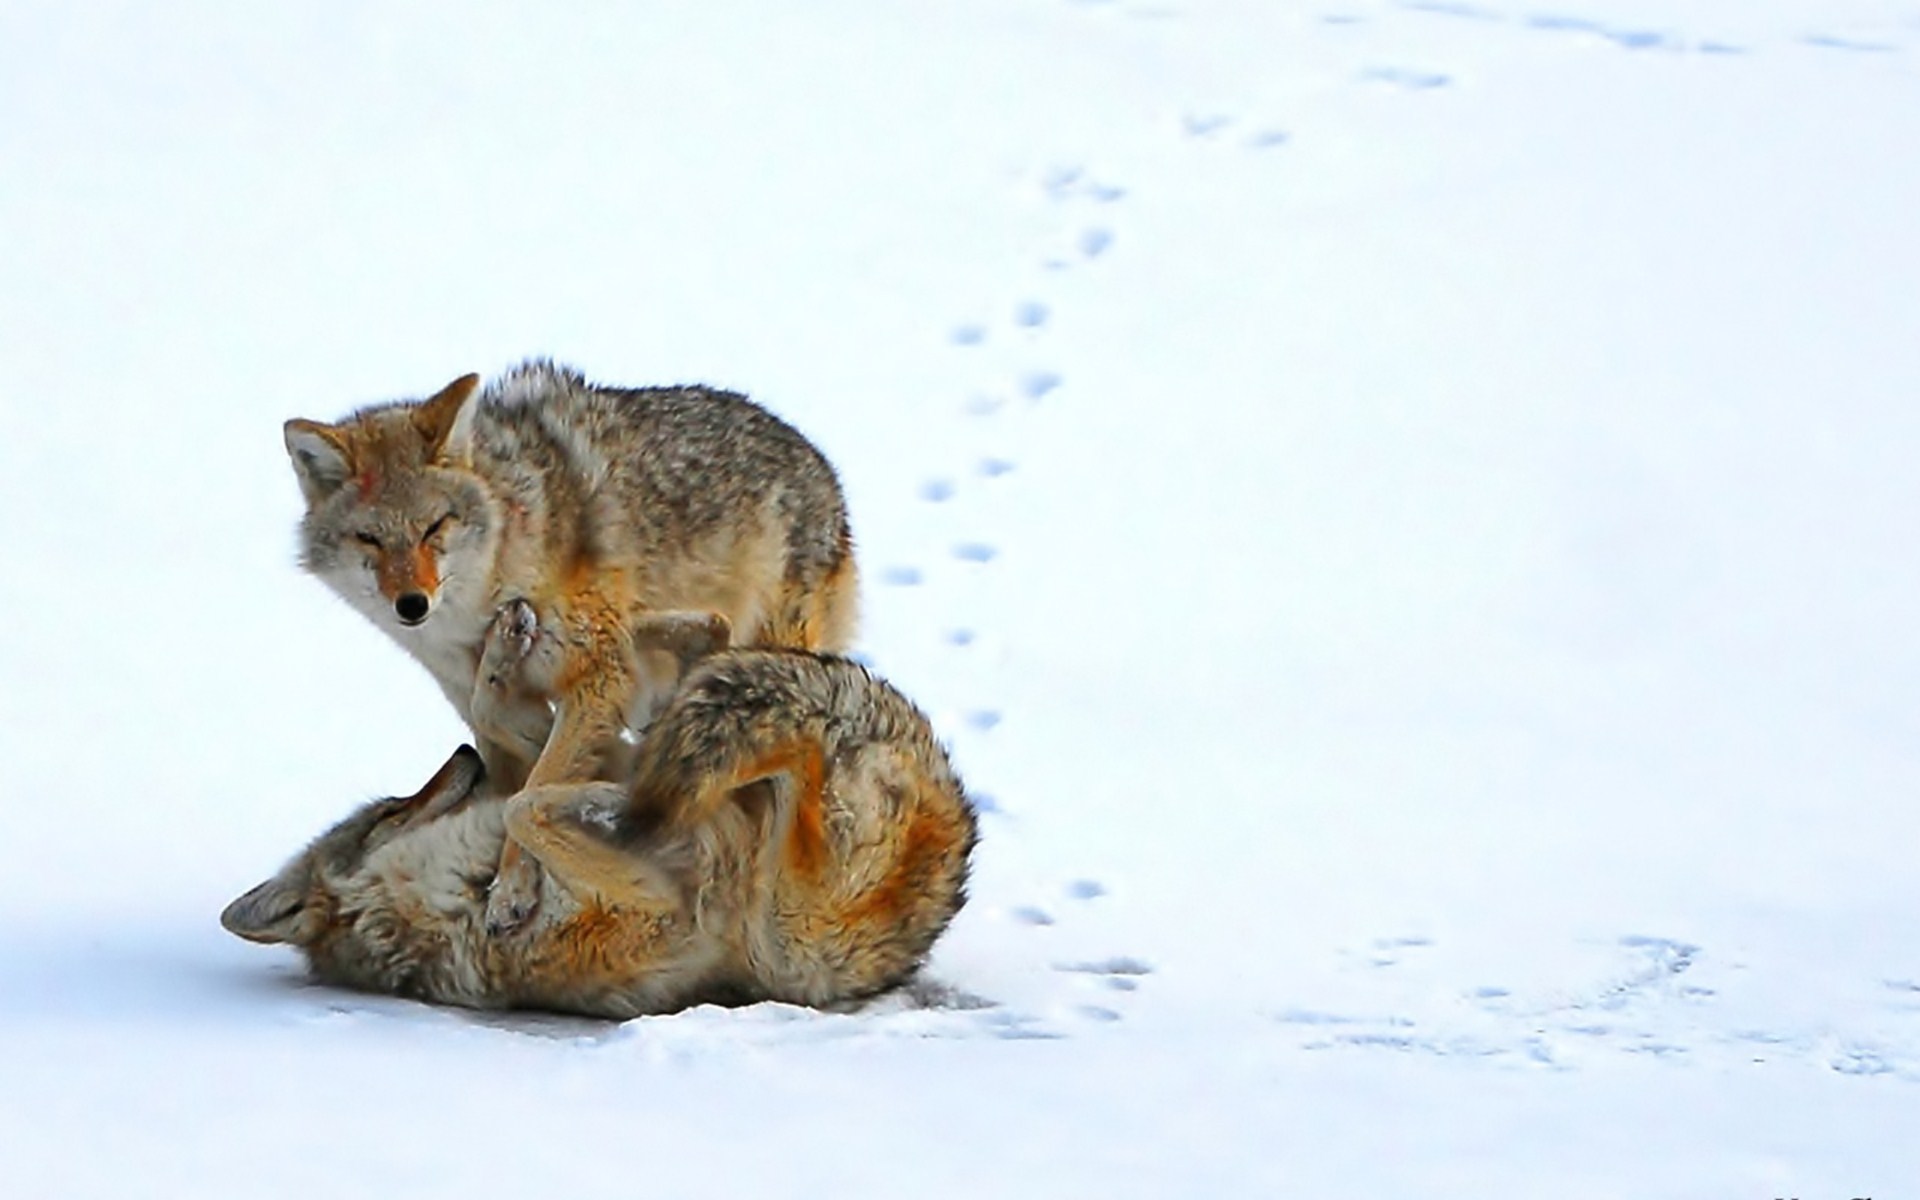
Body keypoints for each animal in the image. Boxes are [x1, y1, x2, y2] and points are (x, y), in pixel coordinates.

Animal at [221, 619, 978, 1019]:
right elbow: (529, 805)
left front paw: (504, 657)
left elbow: (524, 758)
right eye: (390, 810)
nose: (465, 756)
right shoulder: (661, 901)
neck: (452, 888)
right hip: (790, 915)